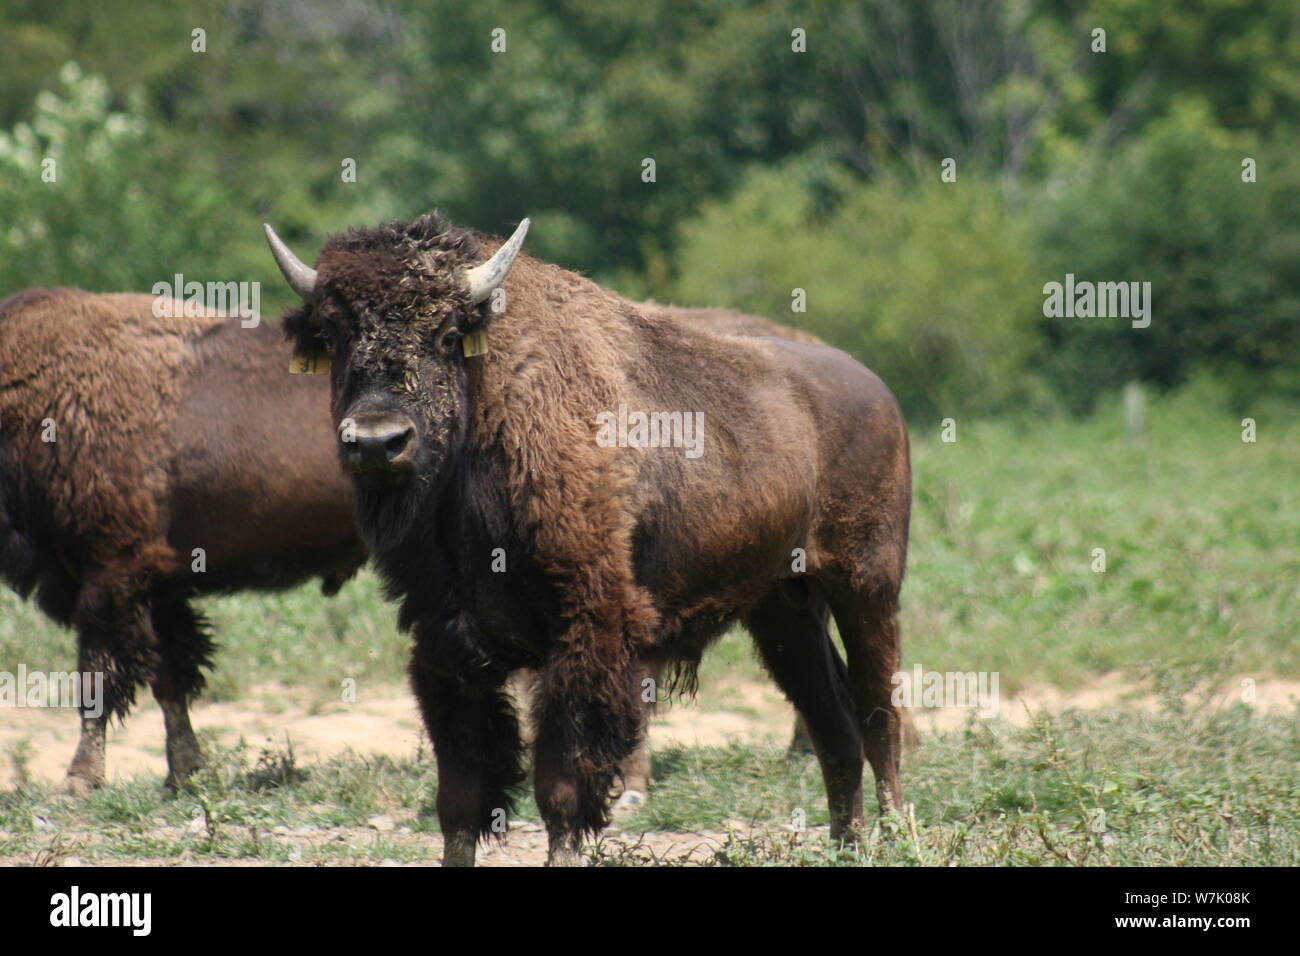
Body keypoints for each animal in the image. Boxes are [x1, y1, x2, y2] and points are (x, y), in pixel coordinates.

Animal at [265, 213, 912, 865]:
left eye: (446, 334)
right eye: (333, 333)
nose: (377, 441)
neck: (490, 403)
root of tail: (879, 392)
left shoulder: (586, 639)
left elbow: (560, 789)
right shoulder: (447, 644)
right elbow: (462, 795)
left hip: (866, 587)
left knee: (877, 711)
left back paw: (893, 833)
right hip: (783, 609)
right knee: (832, 723)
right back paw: (847, 844)